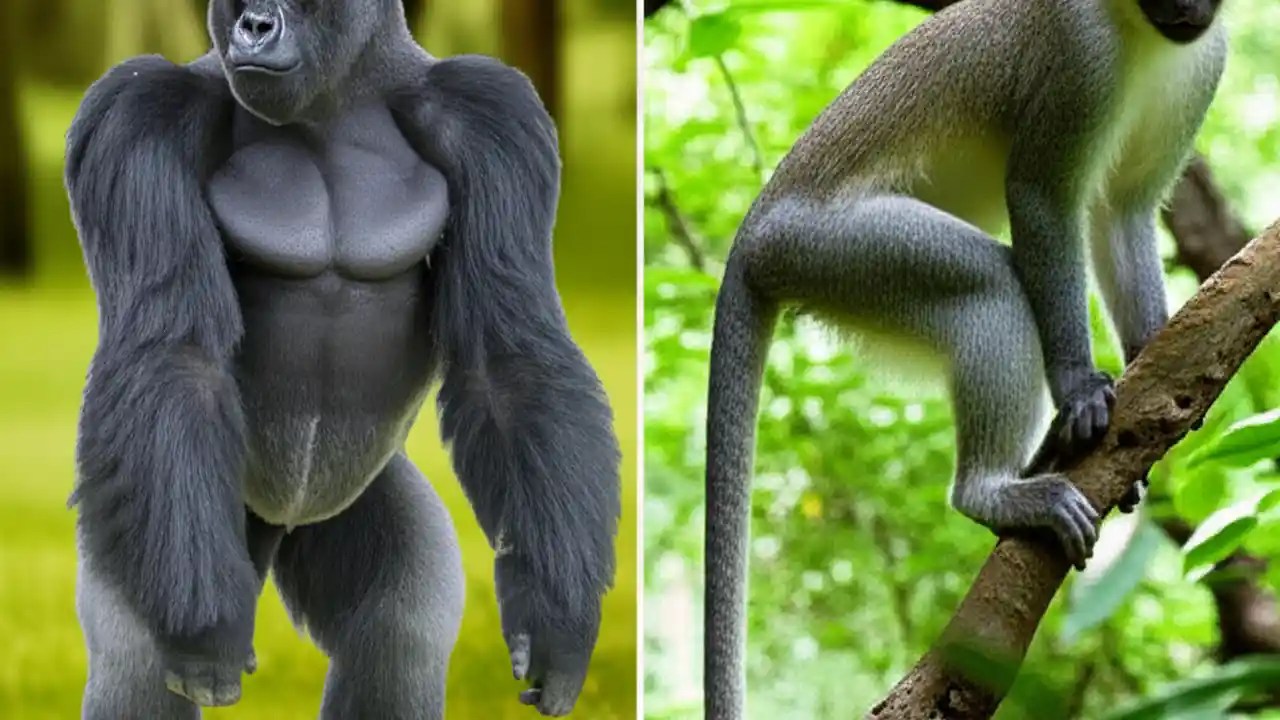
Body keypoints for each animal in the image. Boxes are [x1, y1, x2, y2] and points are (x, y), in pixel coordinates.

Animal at [65, 1, 620, 717]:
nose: (254, 25)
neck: (343, 97)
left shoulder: (491, 116)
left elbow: (510, 361)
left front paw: (559, 615)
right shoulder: (139, 111)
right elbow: (172, 352)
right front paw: (204, 627)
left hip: (349, 502)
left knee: (398, 635)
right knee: (135, 654)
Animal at [701, 0, 1226, 715]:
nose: (1186, 11)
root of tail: (754, 232)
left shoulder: (1207, 61)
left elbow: (1123, 208)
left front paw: (1159, 357)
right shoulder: (1080, 55)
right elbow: (1041, 198)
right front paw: (1079, 388)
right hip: (834, 248)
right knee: (990, 287)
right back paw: (991, 492)